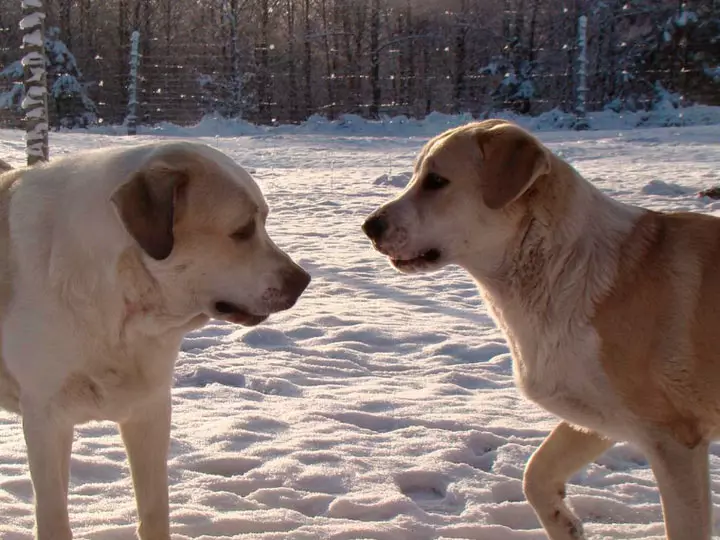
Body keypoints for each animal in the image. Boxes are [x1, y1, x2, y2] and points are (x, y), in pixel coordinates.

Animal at [0, 142, 306, 540]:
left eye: (265, 222)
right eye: (242, 231)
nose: (303, 281)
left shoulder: (151, 409)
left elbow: (155, 508)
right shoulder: (45, 419)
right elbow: (53, 518)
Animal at [366, 119, 720, 540]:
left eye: (436, 181)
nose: (369, 226)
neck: (566, 268)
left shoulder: (674, 438)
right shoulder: (596, 414)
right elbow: (535, 473)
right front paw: (565, 524)